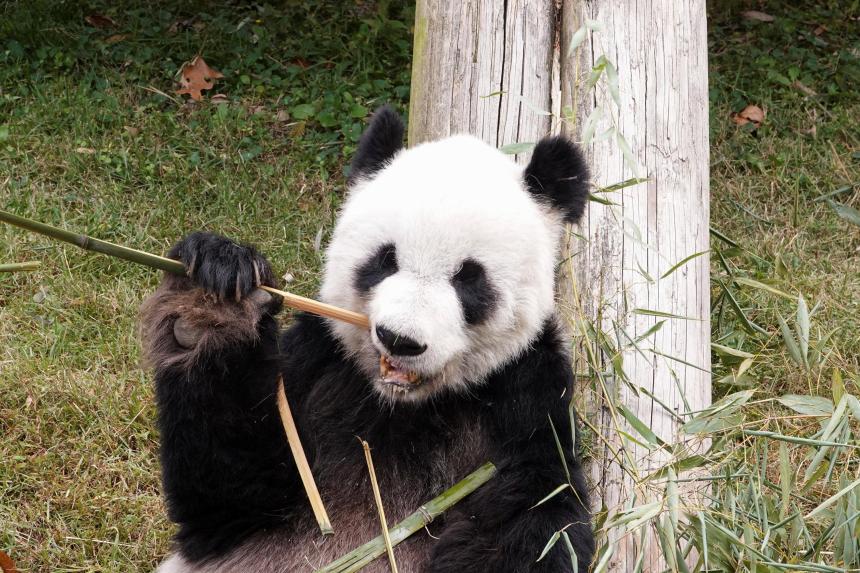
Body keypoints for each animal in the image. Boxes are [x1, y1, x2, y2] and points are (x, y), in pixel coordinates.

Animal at [140, 106, 595, 572]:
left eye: (469, 279)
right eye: (384, 260)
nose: (400, 339)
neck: (403, 408)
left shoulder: (527, 396)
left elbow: (534, 518)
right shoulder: (317, 359)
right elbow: (228, 493)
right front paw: (213, 300)